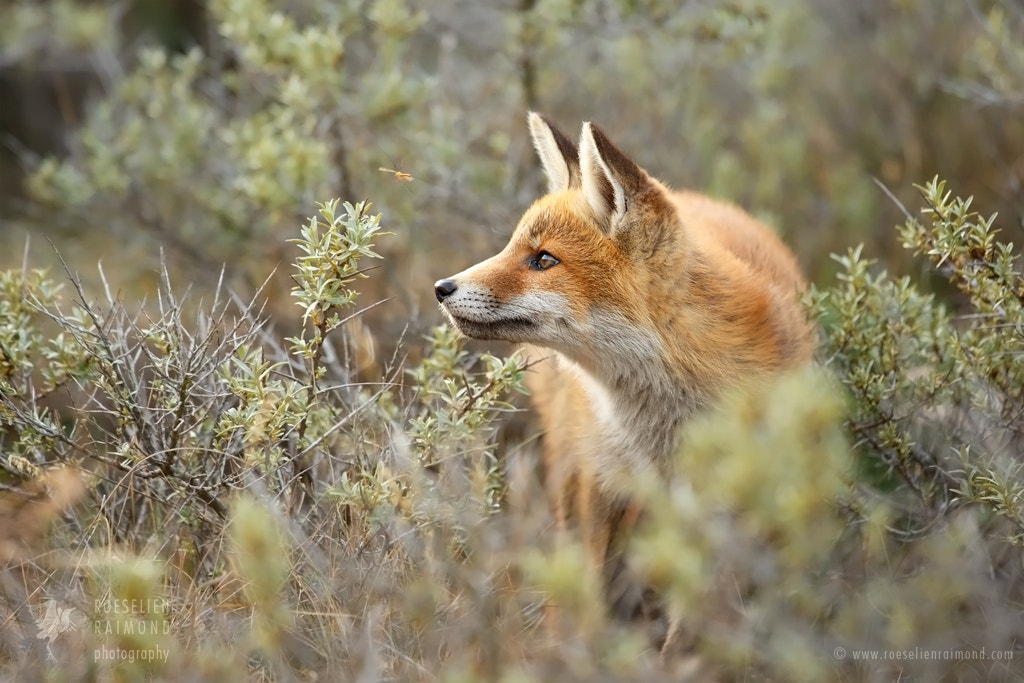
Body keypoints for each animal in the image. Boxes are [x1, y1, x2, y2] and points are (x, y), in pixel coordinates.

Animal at [434, 113, 816, 652]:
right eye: (511, 246)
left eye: (543, 259)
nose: (441, 288)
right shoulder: (602, 484)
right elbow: (588, 598)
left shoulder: (721, 505)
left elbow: (691, 622)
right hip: (570, 469)